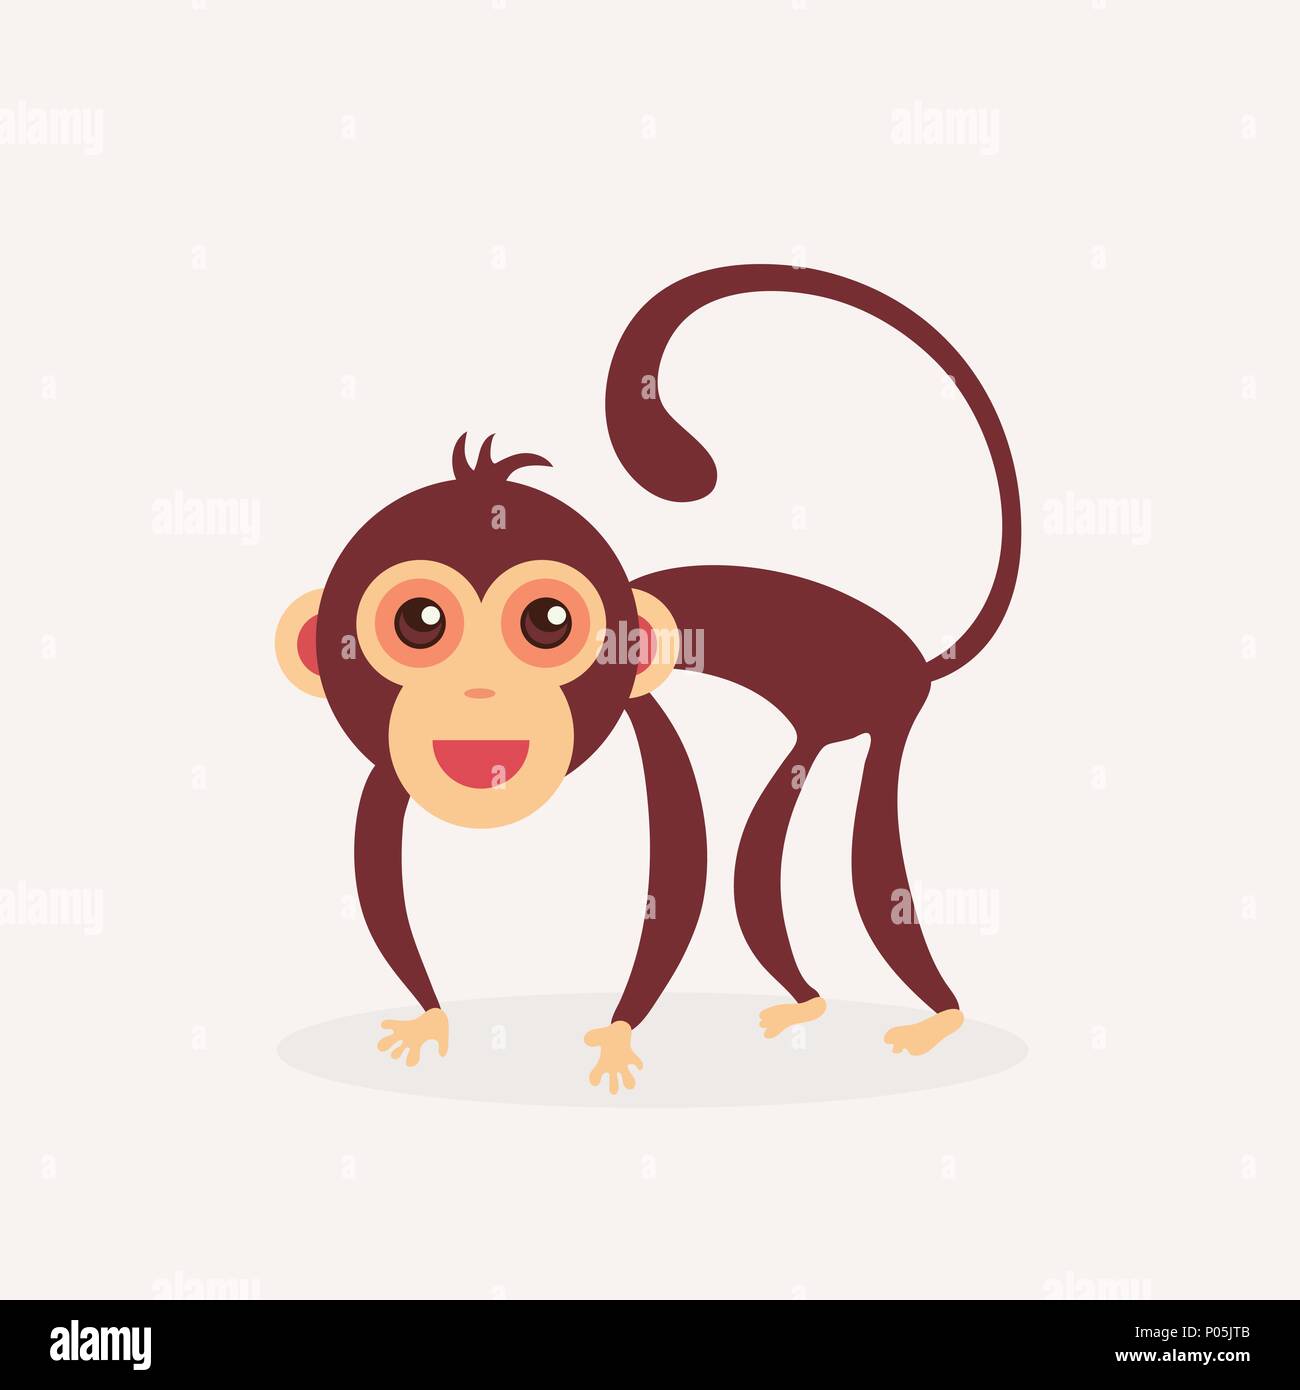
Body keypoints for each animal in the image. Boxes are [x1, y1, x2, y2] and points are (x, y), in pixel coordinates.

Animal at [276, 264, 1019, 1094]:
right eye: (421, 622)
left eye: (547, 622)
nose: (481, 694)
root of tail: (911, 651)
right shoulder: (384, 785)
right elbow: (384, 900)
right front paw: (431, 1020)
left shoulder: (652, 745)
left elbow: (679, 891)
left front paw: (616, 1037)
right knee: (758, 868)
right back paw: (807, 1001)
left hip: (880, 714)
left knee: (861, 866)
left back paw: (936, 1015)